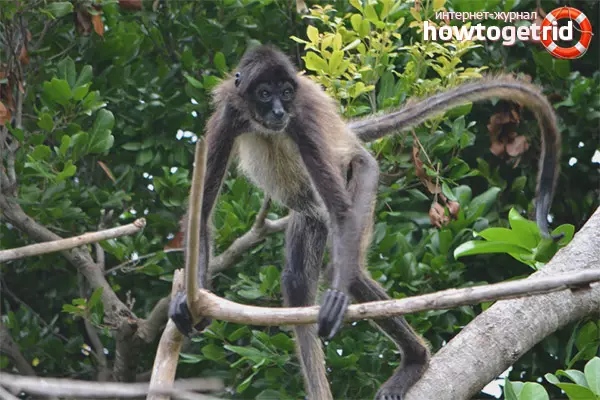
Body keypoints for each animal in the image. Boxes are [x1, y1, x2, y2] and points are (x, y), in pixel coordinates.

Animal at [169, 45, 564, 398]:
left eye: (285, 93)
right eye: (265, 94)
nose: (280, 110)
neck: (265, 124)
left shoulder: (302, 121)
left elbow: (343, 214)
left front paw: (338, 298)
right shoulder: (228, 117)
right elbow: (202, 214)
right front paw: (191, 302)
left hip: (362, 169)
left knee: (349, 267)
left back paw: (414, 360)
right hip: (310, 214)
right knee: (297, 280)